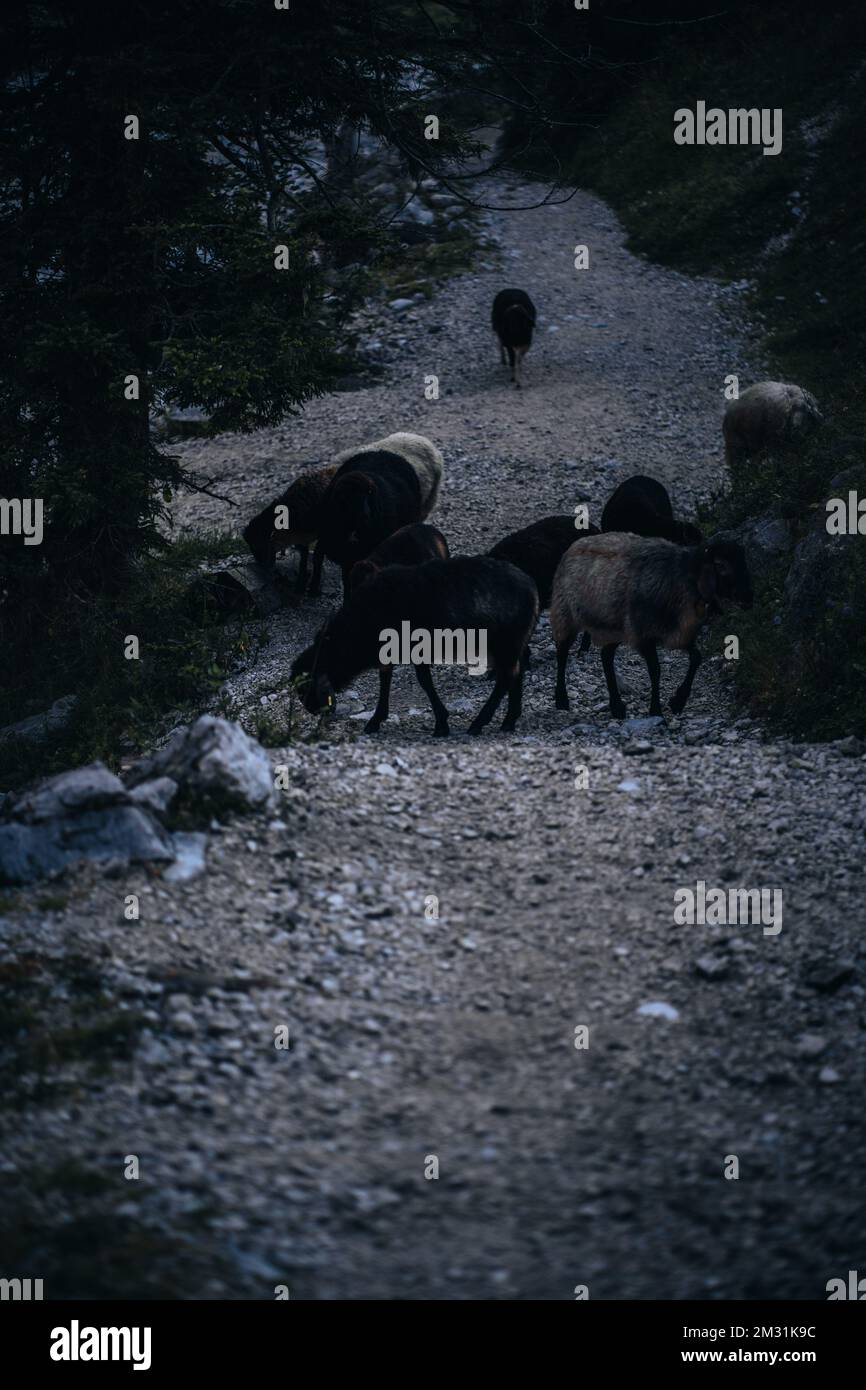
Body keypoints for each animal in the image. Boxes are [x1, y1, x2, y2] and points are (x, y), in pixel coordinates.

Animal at [242, 462, 337, 593]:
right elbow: (303, 560)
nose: (263, 566)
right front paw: (300, 585)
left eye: (259, 545)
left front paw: (313, 588)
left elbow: (317, 558)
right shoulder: (301, 540)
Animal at [291, 556, 538, 736]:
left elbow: (423, 681)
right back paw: (509, 720)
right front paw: (377, 719)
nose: (314, 710)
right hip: (513, 641)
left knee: (506, 677)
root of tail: (531, 589)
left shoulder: (415, 647)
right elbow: (386, 678)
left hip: (505, 640)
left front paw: (441, 723)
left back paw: (479, 723)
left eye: (305, 686)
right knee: (516, 672)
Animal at [550, 533, 752, 718]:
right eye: (720, 565)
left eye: (743, 563)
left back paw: (617, 707)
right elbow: (655, 670)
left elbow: (696, 658)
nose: (747, 598)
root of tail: (576, 543)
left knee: (606, 657)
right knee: (562, 654)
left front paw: (678, 701)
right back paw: (561, 700)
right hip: (565, 614)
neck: (685, 579)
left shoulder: (680, 633)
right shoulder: (642, 634)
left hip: (615, 627)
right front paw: (656, 710)